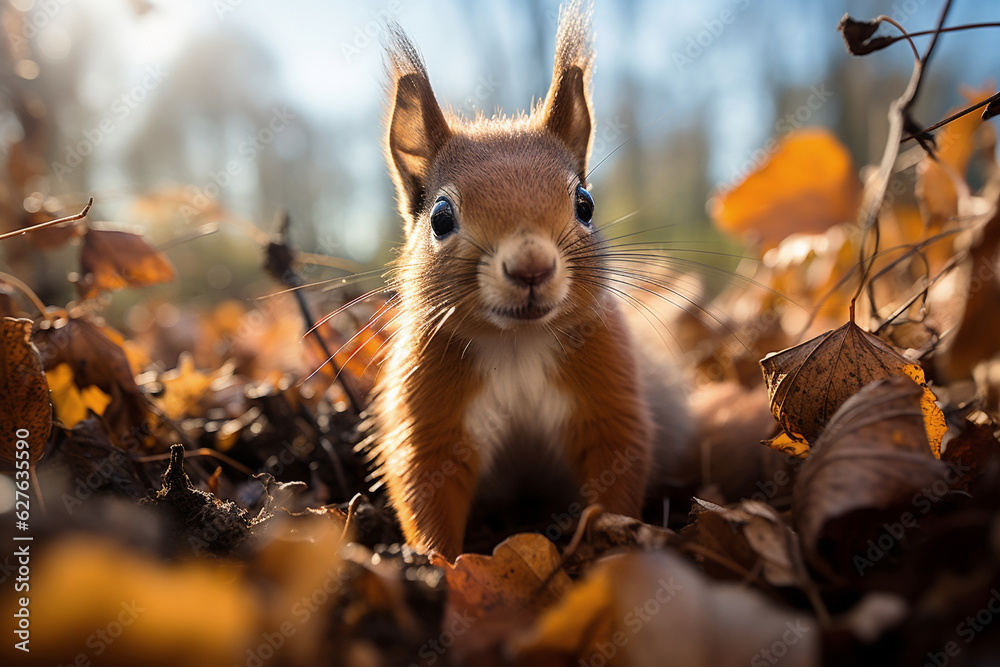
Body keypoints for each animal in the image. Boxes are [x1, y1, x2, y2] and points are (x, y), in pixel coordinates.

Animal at [366, 1, 693, 560]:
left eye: (585, 203)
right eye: (440, 217)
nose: (531, 267)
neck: (518, 343)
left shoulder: (607, 388)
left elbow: (617, 466)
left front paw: (607, 549)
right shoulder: (429, 412)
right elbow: (425, 489)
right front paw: (439, 566)